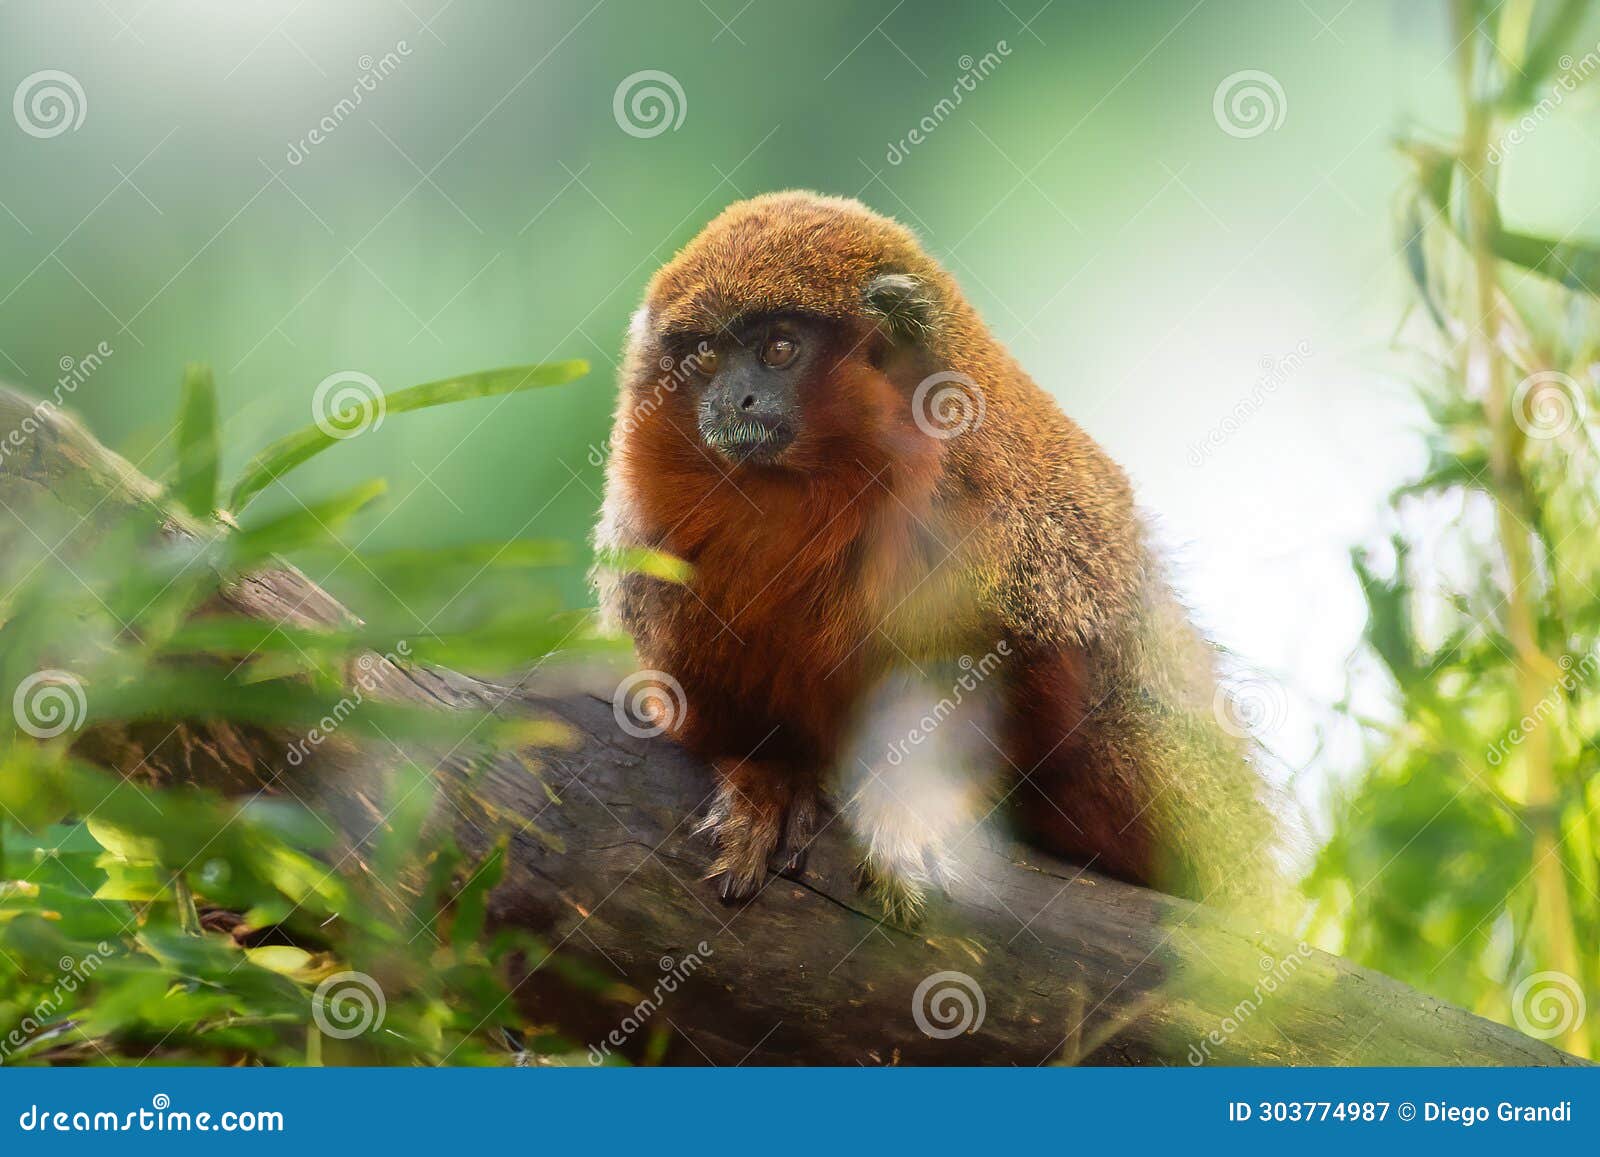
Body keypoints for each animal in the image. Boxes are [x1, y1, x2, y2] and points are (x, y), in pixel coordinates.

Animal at [593, 191, 1288, 924]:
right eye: (705, 357)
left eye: (778, 348)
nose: (734, 399)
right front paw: (766, 776)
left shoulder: (1004, 516)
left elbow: (1018, 665)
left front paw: (910, 808)